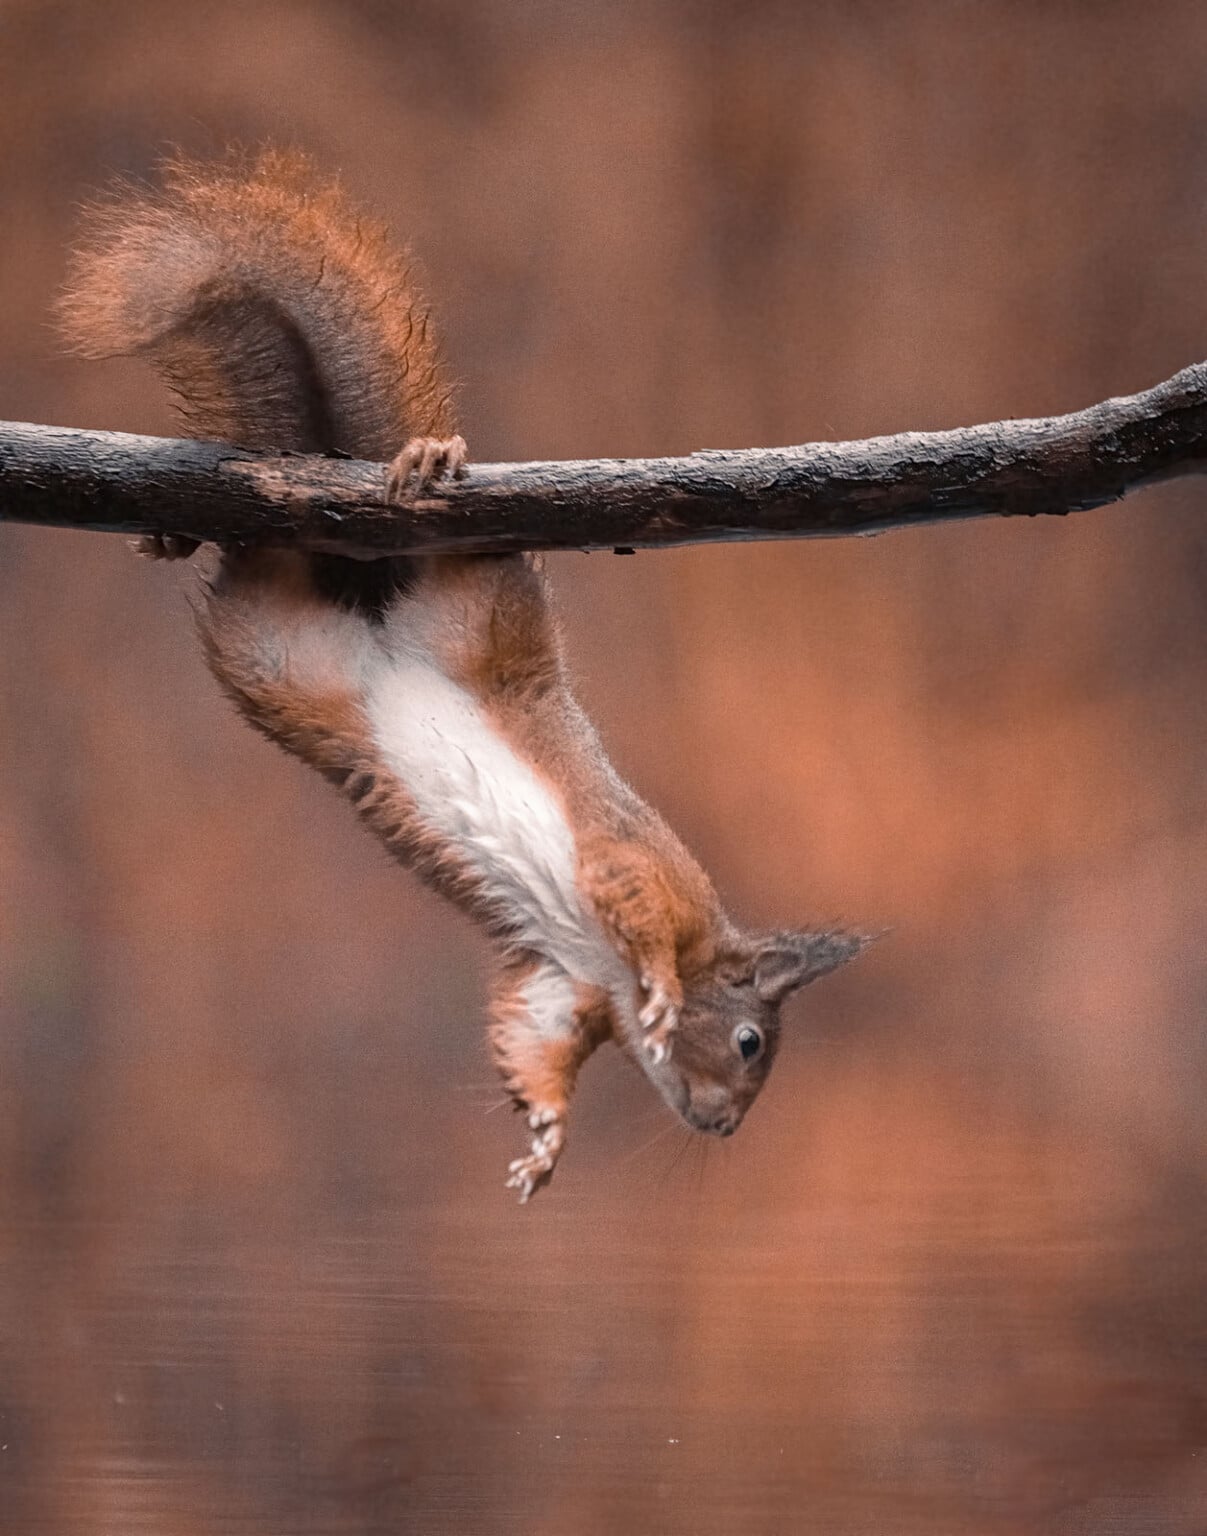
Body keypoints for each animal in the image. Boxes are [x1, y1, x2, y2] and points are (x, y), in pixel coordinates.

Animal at [58, 150, 866, 1200]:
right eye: (748, 1043)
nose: (724, 1127)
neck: (614, 968)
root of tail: (370, 600)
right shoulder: (637, 871)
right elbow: (645, 923)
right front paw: (658, 993)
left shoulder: (561, 986)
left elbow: (533, 1042)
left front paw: (546, 1137)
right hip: (464, 603)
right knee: (319, 557)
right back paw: (419, 461)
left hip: (280, 645)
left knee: (259, 563)